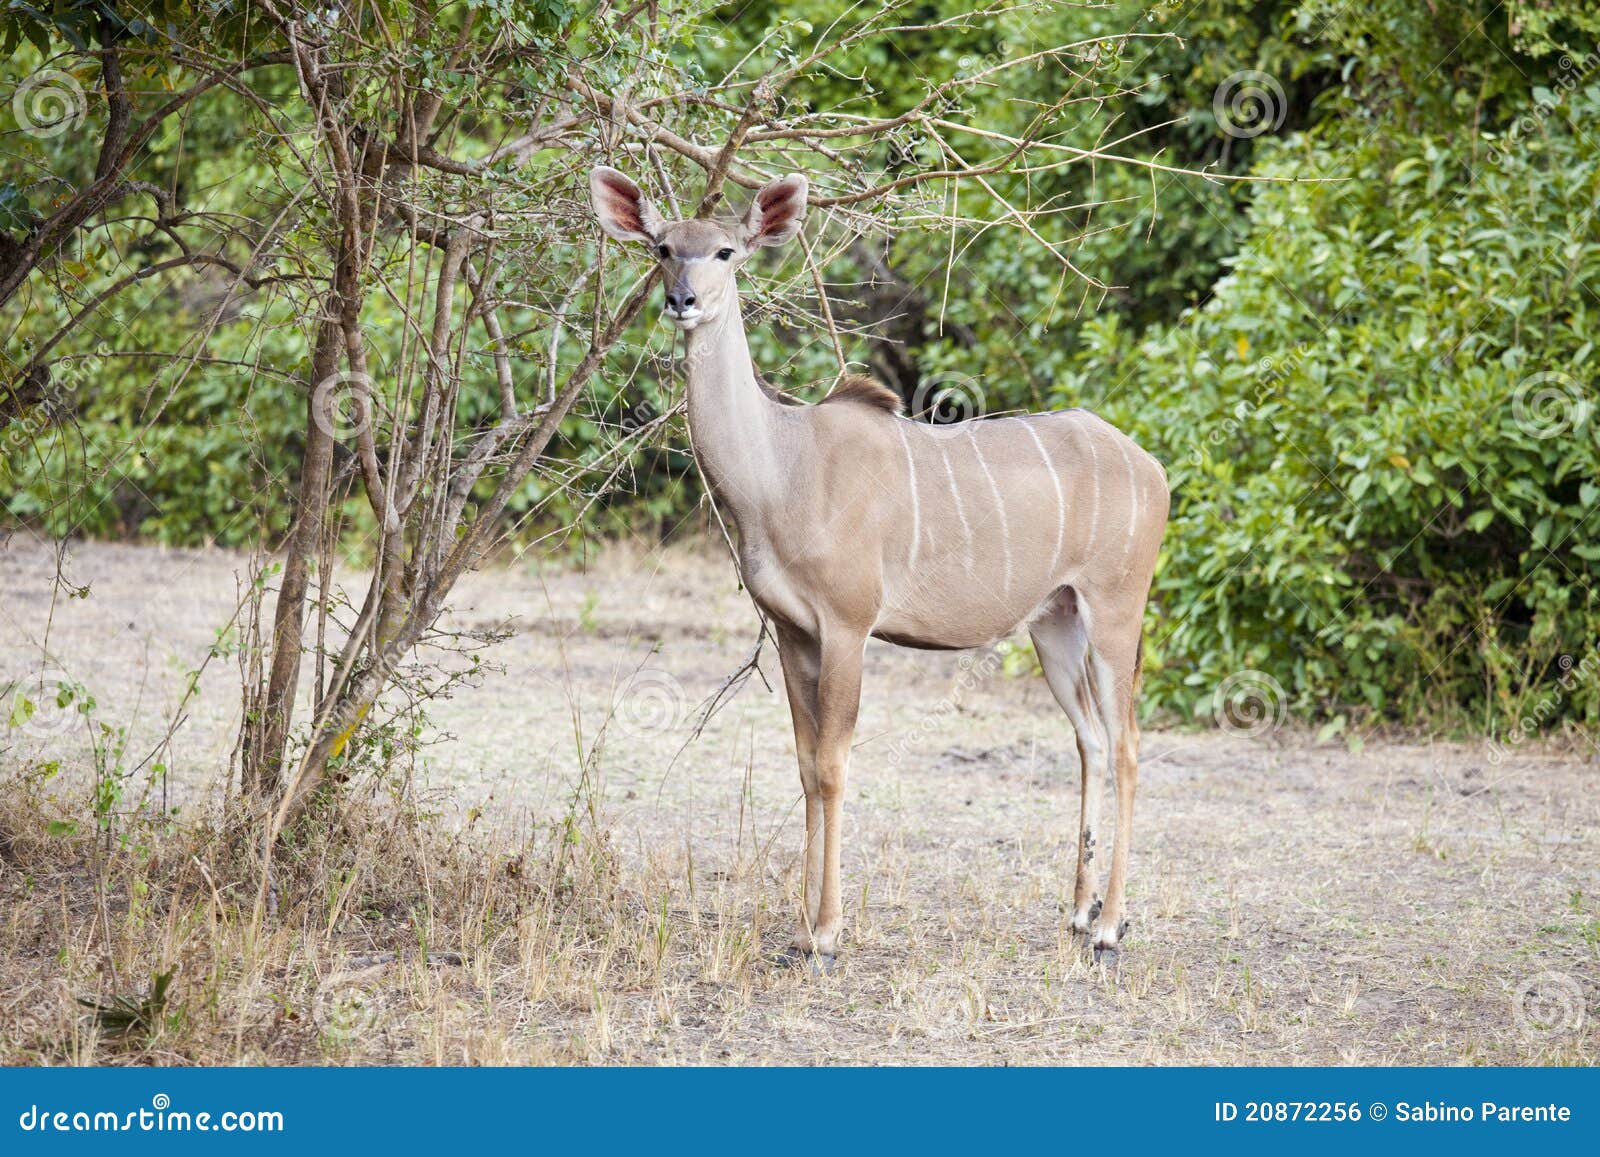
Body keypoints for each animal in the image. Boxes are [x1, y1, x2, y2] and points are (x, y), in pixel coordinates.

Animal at [590, 167, 1169, 972]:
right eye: (663, 248)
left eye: (728, 251)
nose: (682, 300)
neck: (781, 468)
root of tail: (1153, 468)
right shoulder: (793, 630)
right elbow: (806, 764)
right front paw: (800, 925)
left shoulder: (847, 624)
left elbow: (835, 764)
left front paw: (827, 934)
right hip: (1054, 620)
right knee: (1088, 738)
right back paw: (1078, 914)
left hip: (1116, 606)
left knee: (1128, 744)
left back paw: (1112, 927)